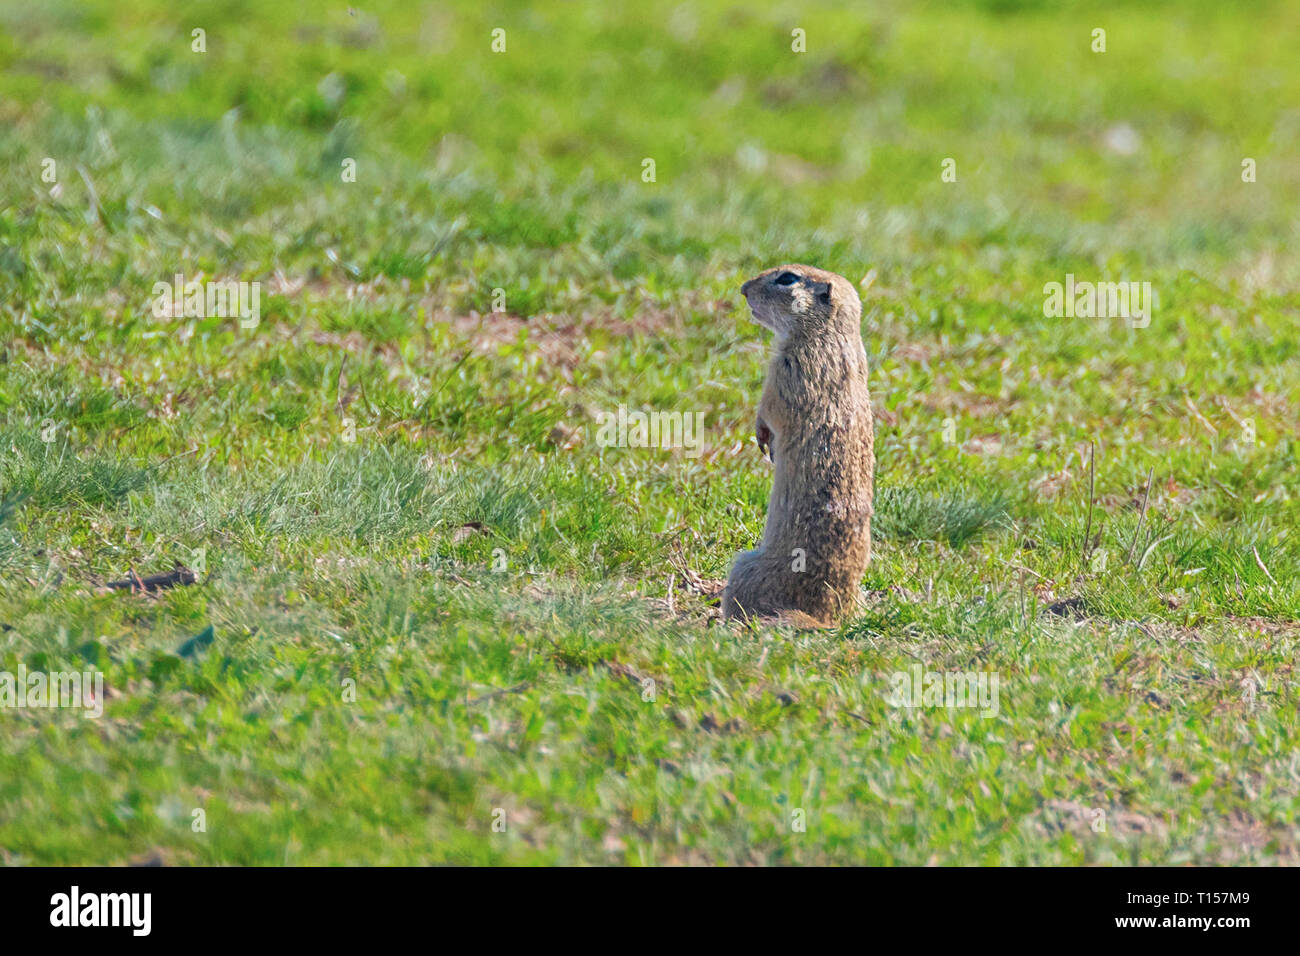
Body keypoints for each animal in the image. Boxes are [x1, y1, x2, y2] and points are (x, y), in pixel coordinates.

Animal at [722, 264, 875, 629]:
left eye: (787, 278)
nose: (743, 288)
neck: (828, 333)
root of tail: (828, 617)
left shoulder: (789, 370)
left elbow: (771, 408)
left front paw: (763, 437)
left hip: (743, 569)